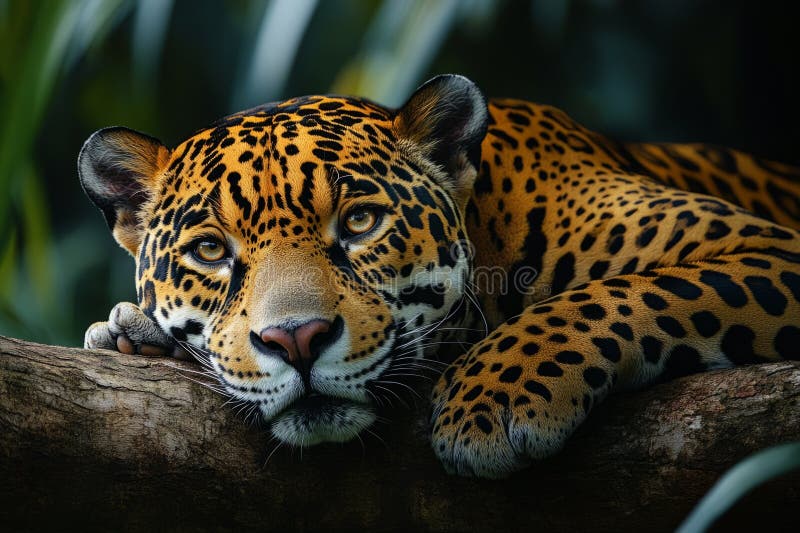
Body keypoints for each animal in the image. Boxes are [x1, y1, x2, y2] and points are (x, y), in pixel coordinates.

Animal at [80, 74, 800, 478]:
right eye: (209, 251)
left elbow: (617, 292)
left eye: (361, 221)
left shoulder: (768, 248)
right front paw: (135, 334)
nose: (296, 340)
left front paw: (491, 397)